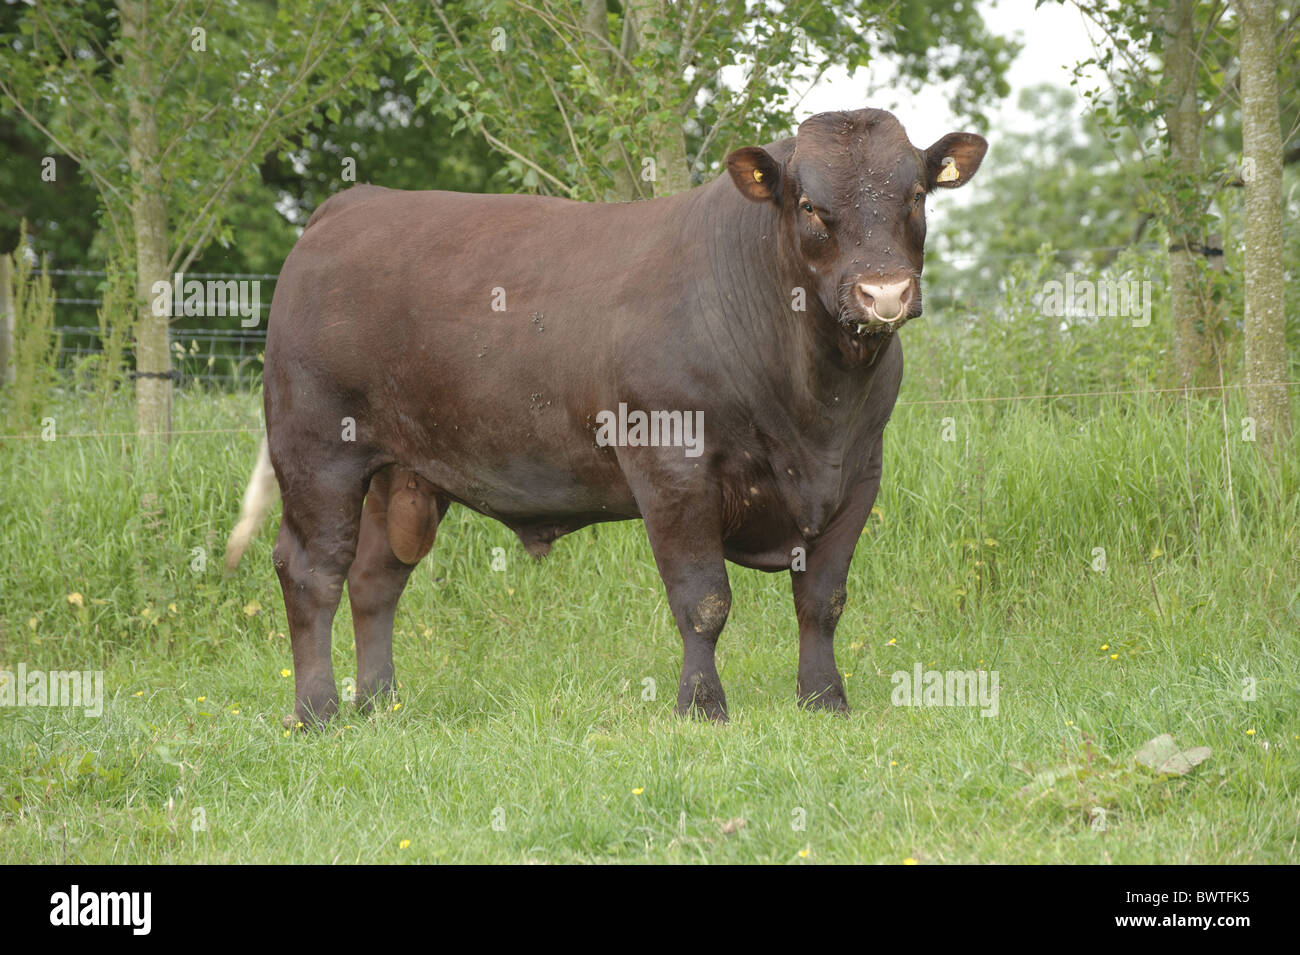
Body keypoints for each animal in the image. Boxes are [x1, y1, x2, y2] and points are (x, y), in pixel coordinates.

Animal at [225, 107, 987, 728]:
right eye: (810, 205)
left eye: (916, 194)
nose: (883, 292)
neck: (811, 403)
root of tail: (351, 204)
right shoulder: (672, 466)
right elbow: (703, 599)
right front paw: (702, 707)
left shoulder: (858, 471)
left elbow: (823, 600)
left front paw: (825, 700)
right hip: (317, 451)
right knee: (312, 570)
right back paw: (318, 711)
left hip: (405, 471)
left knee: (376, 579)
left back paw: (380, 702)